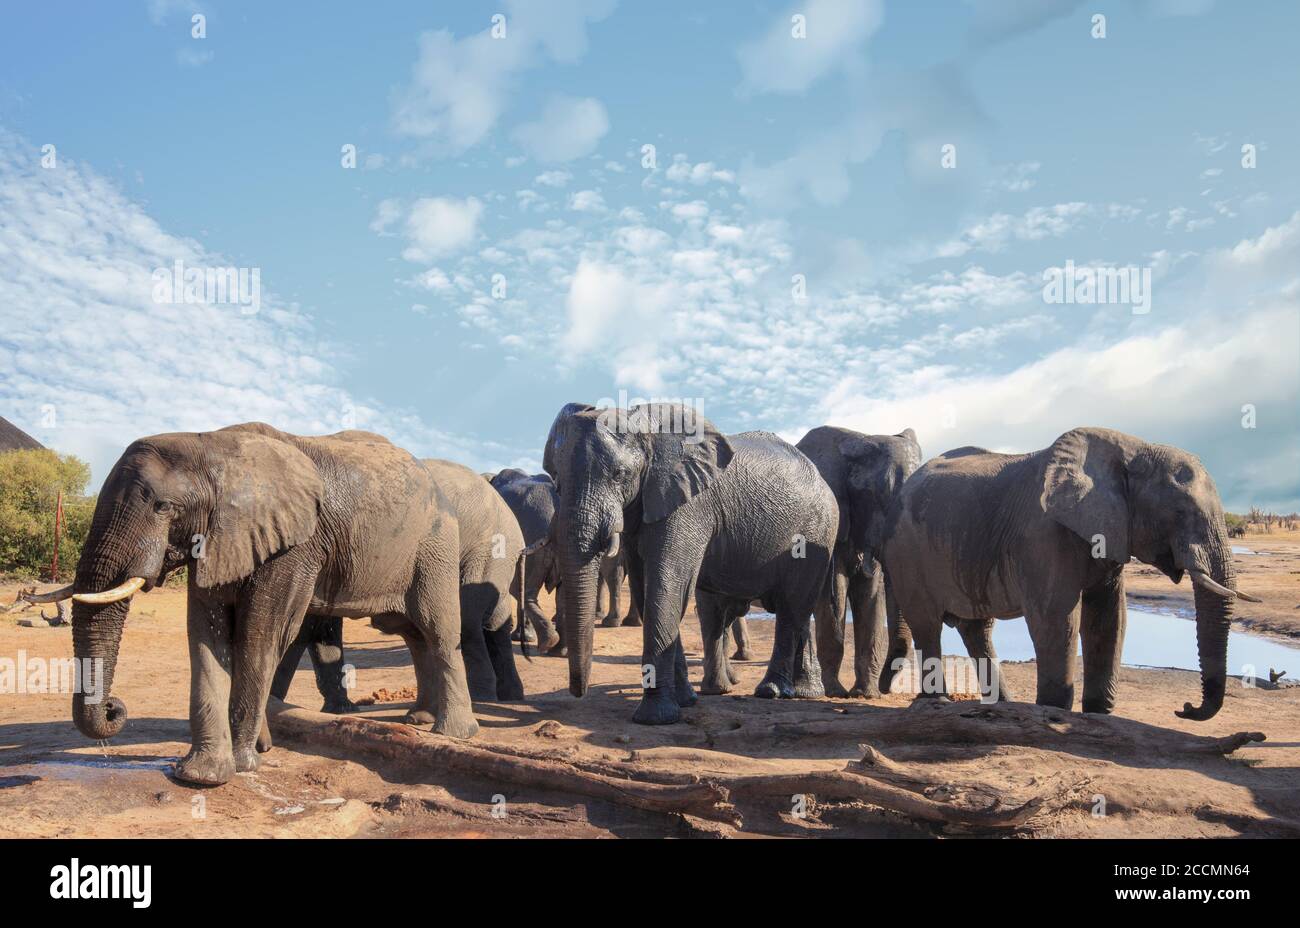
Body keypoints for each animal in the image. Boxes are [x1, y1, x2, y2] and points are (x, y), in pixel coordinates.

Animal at [56, 422, 476, 786]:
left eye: (163, 507)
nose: (114, 708)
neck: (212, 444)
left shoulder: (295, 546)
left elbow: (260, 635)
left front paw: (242, 764)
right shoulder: (219, 539)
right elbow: (206, 636)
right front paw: (202, 774)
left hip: (435, 545)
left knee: (437, 631)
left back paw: (454, 733)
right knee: (413, 635)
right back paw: (418, 718)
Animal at [544, 402, 838, 724]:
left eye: (619, 474)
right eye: (556, 480)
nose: (578, 692)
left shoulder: (689, 504)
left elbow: (668, 583)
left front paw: (656, 718)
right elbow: (645, 586)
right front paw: (685, 702)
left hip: (817, 532)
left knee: (792, 606)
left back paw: (771, 691)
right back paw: (803, 692)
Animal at [795, 426, 922, 698]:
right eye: (881, 494)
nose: (887, 689)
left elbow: (871, 596)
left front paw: (866, 694)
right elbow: (832, 598)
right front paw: (836, 693)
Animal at [883, 427, 1261, 718]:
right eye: (1180, 512)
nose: (1185, 708)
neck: (1133, 449)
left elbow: (1110, 618)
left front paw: (1098, 713)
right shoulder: (1042, 534)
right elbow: (1057, 618)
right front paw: (1052, 712)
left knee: (977, 628)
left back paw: (1003, 707)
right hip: (906, 553)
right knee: (928, 625)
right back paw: (940, 703)